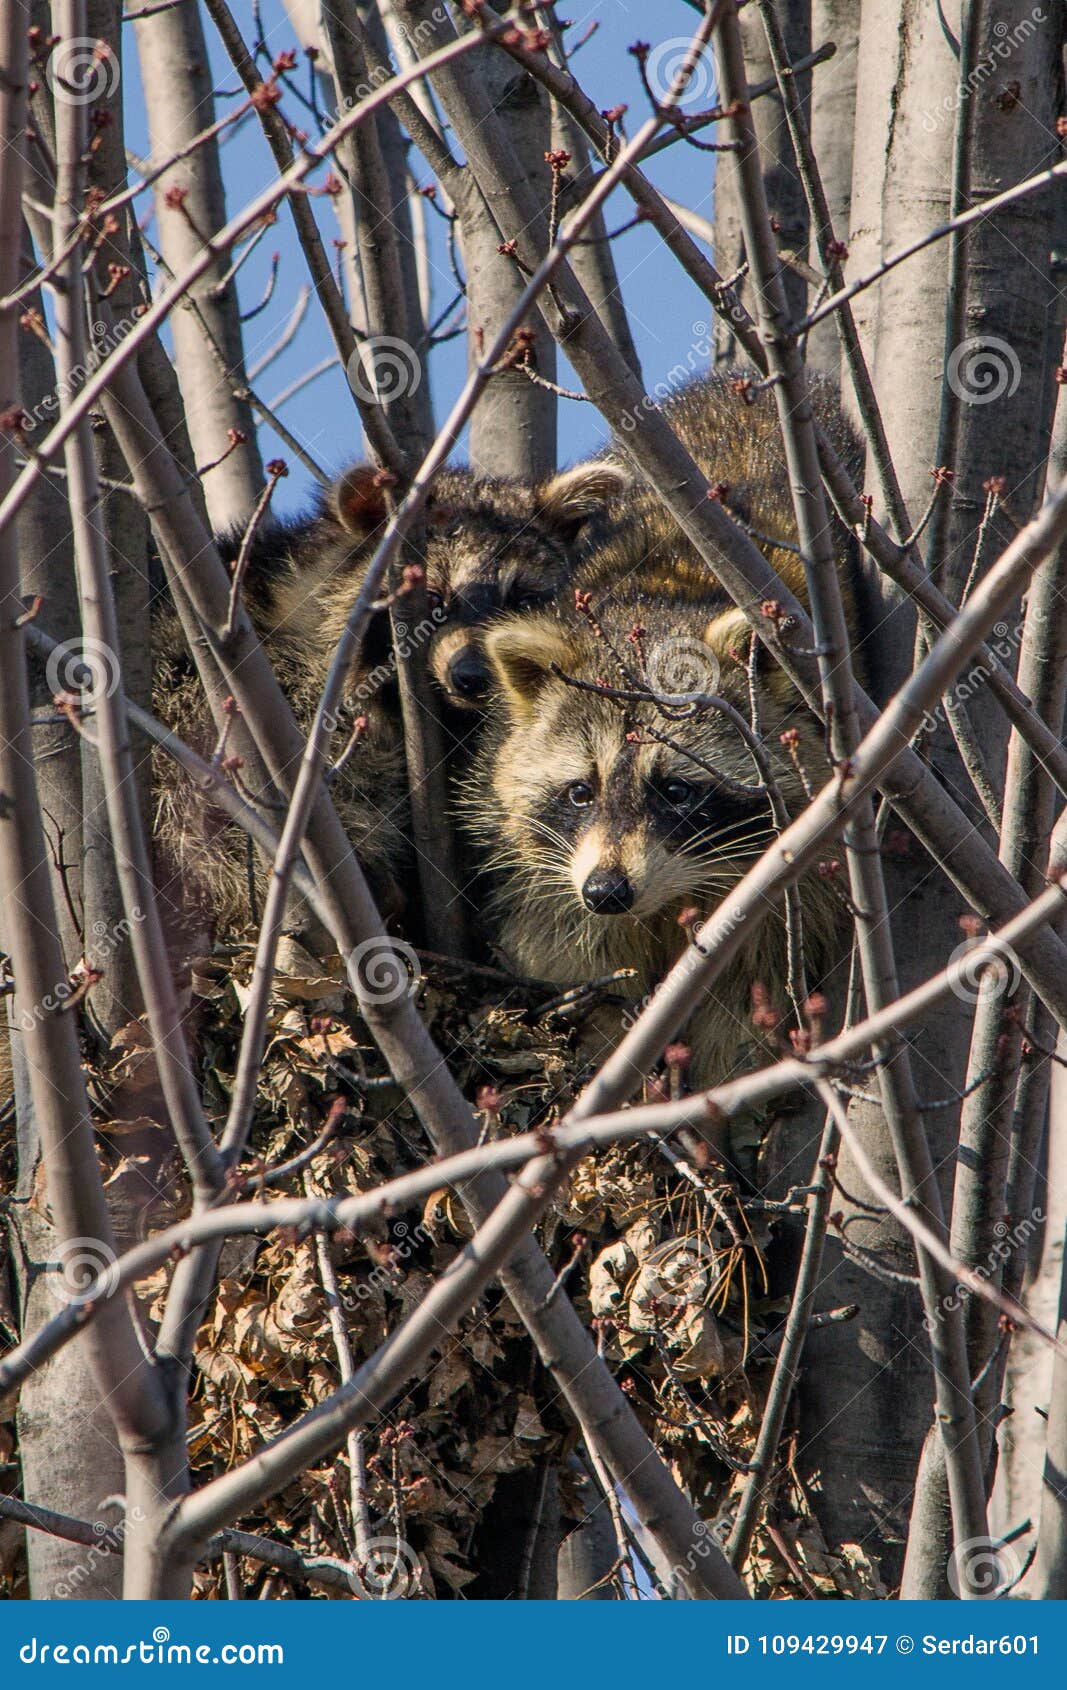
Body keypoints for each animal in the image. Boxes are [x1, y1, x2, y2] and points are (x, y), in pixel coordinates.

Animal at [464, 377, 859, 1086]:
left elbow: (743, 1003)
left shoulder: (792, 891)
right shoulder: (535, 863)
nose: (606, 891)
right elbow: (565, 950)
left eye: (676, 791)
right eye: (580, 791)